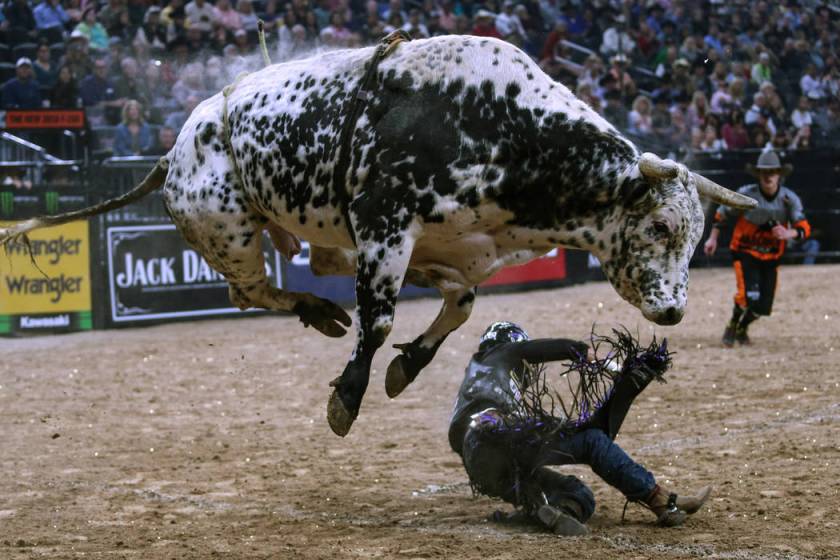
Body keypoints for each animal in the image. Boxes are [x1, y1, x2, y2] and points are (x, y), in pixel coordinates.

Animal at [0, 35, 755, 438]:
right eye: (659, 224)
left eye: (697, 237)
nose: (673, 311)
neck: (503, 128)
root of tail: (174, 148)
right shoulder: (385, 224)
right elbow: (382, 317)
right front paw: (348, 396)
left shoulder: (446, 249)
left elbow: (460, 305)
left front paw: (406, 366)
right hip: (226, 230)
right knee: (250, 292)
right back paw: (316, 310)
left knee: (283, 282)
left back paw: (320, 309)